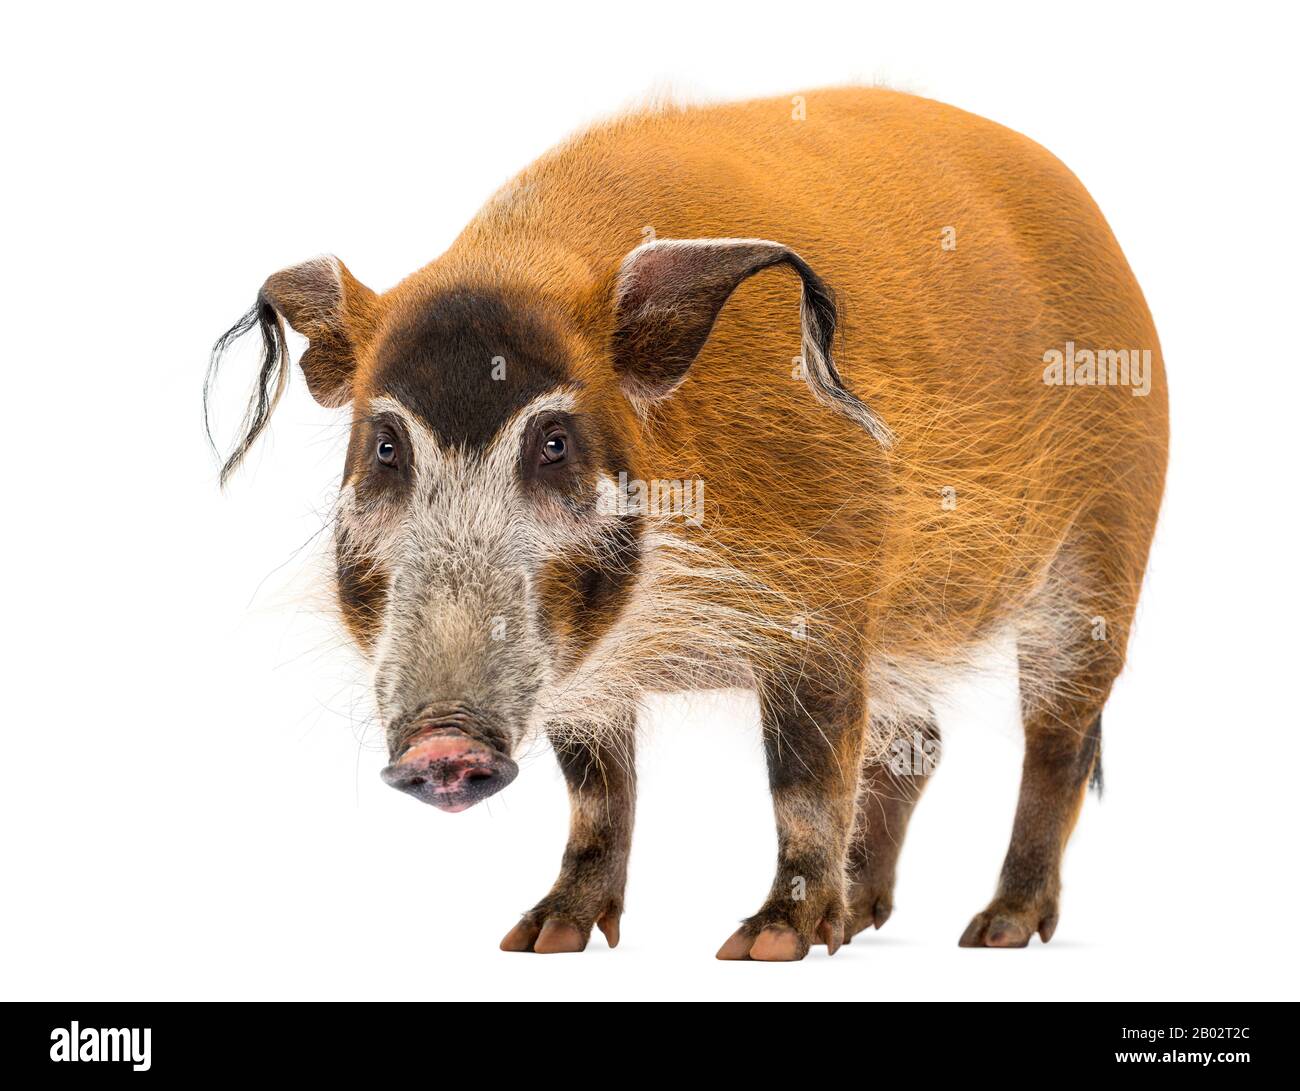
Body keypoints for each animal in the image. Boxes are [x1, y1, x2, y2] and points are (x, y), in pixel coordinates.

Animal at [206, 87, 1168, 960]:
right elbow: (598, 789)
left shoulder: (822, 606)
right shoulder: (589, 674)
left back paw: (994, 931)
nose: (445, 741)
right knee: (918, 741)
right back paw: (860, 921)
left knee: (1058, 739)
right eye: (386, 444)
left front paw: (764, 945)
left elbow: (806, 777)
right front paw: (541, 939)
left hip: (1103, 552)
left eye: (554, 440)